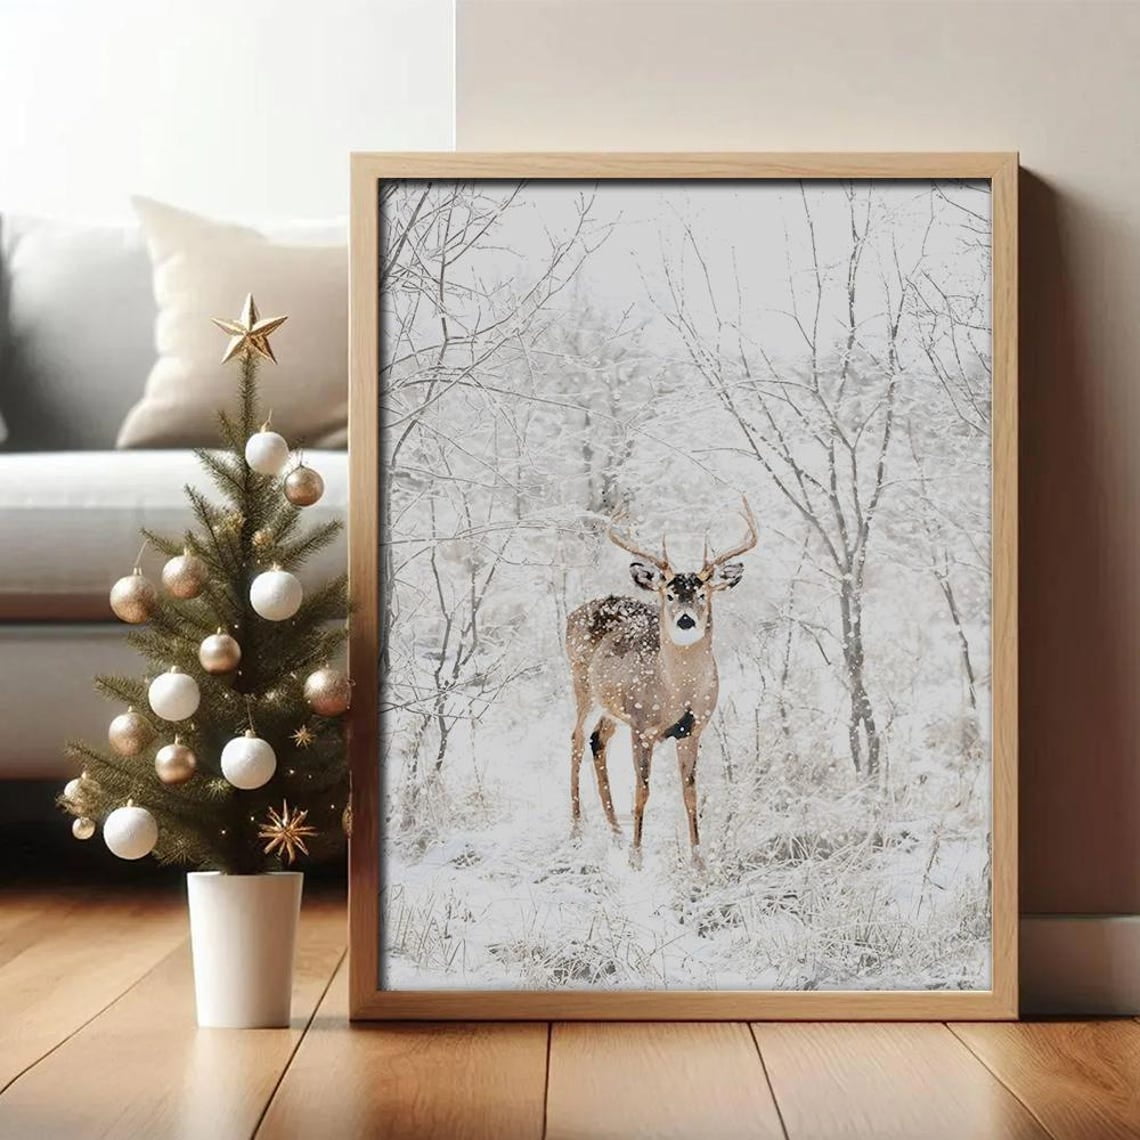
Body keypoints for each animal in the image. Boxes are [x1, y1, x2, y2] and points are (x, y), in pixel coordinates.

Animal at [565, 497, 758, 865]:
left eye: (702, 594)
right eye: (669, 594)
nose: (685, 620)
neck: (676, 692)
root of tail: (574, 612)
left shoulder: (693, 729)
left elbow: (690, 791)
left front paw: (698, 861)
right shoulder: (642, 726)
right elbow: (642, 789)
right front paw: (636, 859)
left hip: (613, 709)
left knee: (598, 739)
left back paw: (615, 832)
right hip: (582, 683)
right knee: (577, 739)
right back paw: (578, 829)